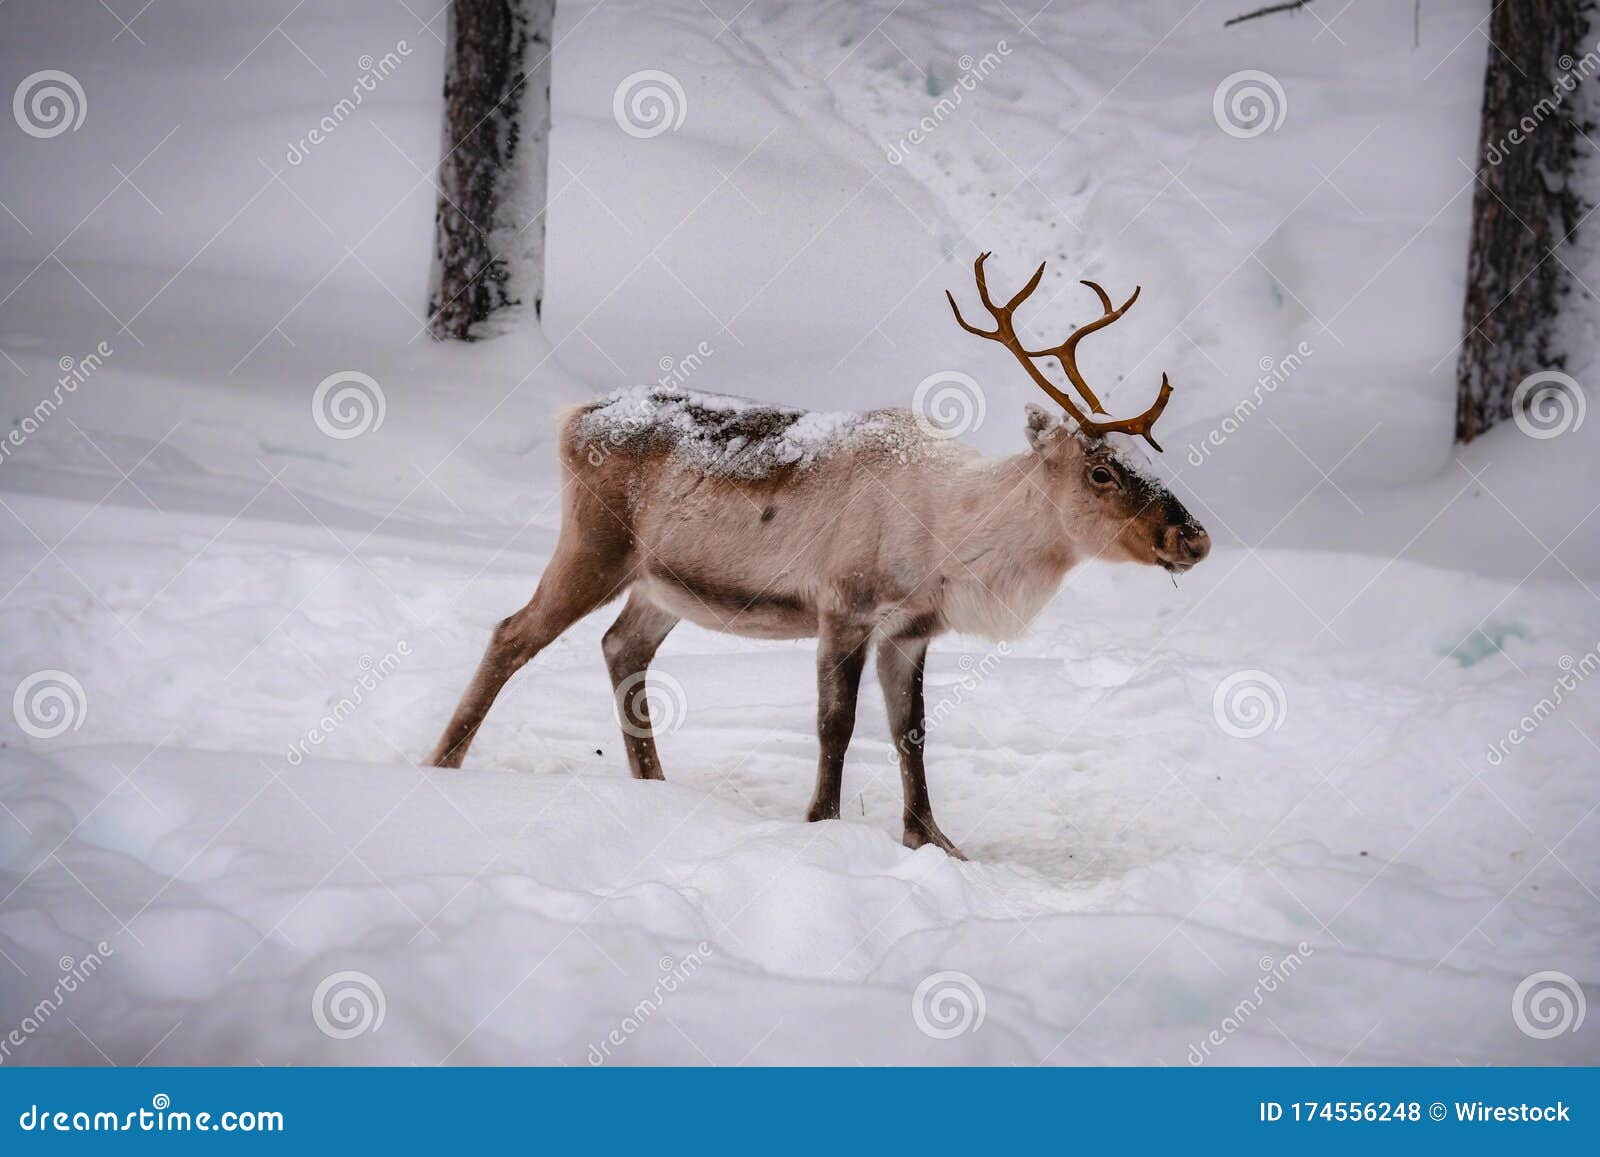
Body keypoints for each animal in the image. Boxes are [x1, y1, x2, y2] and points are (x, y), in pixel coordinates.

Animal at [426, 253, 1210, 860]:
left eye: (1148, 461)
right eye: (1100, 472)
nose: (1194, 538)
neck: (953, 538)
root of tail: (573, 416)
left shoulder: (910, 629)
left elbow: (911, 732)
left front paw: (932, 839)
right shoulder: (845, 607)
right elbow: (836, 725)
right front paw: (822, 822)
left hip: (658, 584)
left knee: (622, 646)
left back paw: (654, 786)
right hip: (595, 544)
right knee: (513, 632)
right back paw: (441, 764)